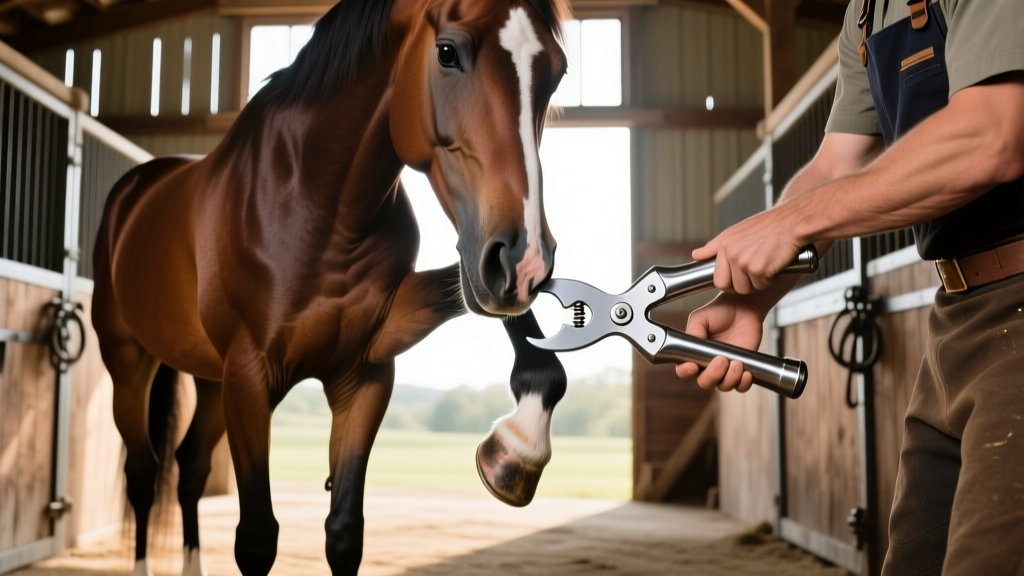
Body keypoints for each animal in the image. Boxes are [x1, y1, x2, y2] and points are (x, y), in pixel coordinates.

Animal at [90, 0, 572, 574]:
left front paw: (517, 451)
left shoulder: (366, 369)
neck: (317, 206)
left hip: (210, 380)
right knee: (143, 475)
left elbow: (344, 533)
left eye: (558, 71)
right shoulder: (249, 377)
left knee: (189, 469)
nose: (524, 262)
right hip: (130, 364)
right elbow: (257, 537)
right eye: (447, 52)